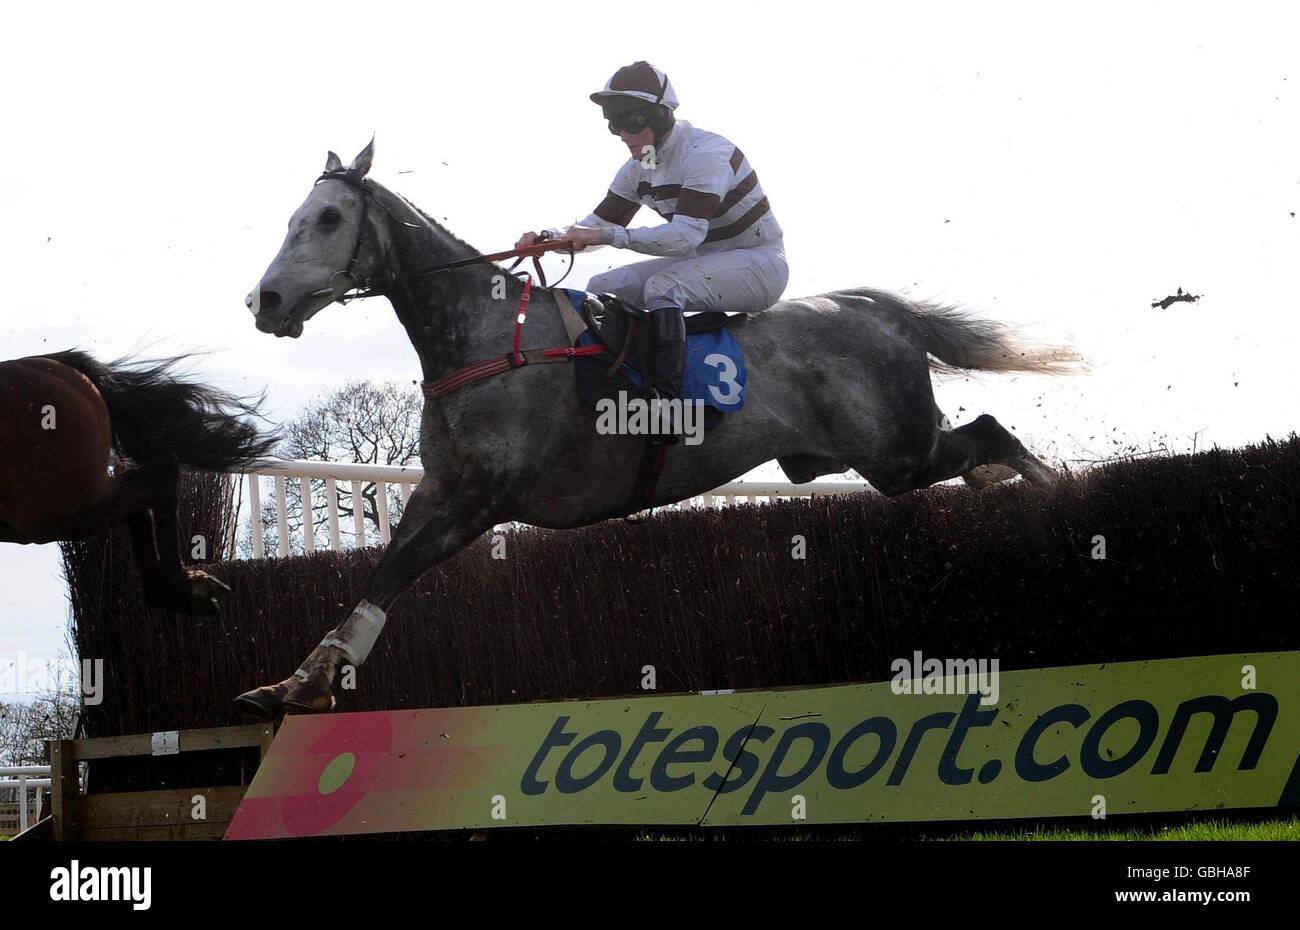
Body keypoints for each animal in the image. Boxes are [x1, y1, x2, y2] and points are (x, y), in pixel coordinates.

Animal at [237, 139, 1083, 717]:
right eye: (293, 218)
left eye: (328, 218)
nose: (265, 300)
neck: (485, 337)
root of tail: (877, 309)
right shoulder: (441, 486)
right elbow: (379, 571)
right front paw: (296, 678)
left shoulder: (484, 498)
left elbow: (398, 568)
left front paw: (312, 680)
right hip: (883, 458)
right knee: (975, 446)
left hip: (897, 451)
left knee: (992, 431)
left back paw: (1059, 497)